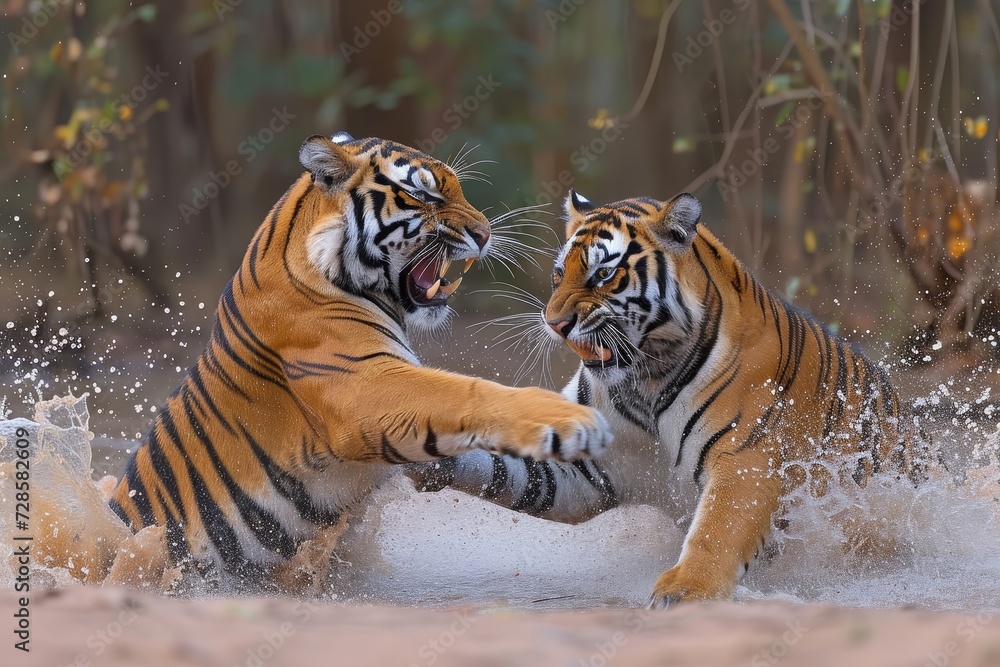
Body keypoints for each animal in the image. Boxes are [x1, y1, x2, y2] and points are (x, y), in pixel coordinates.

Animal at [415, 189, 935, 606]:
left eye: (603, 274)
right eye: (559, 273)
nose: (555, 323)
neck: (646, 377)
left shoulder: (745, 462)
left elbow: (716, 530)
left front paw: (687, 589)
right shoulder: (588, 467)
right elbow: (507, 468)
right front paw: (435, 461)